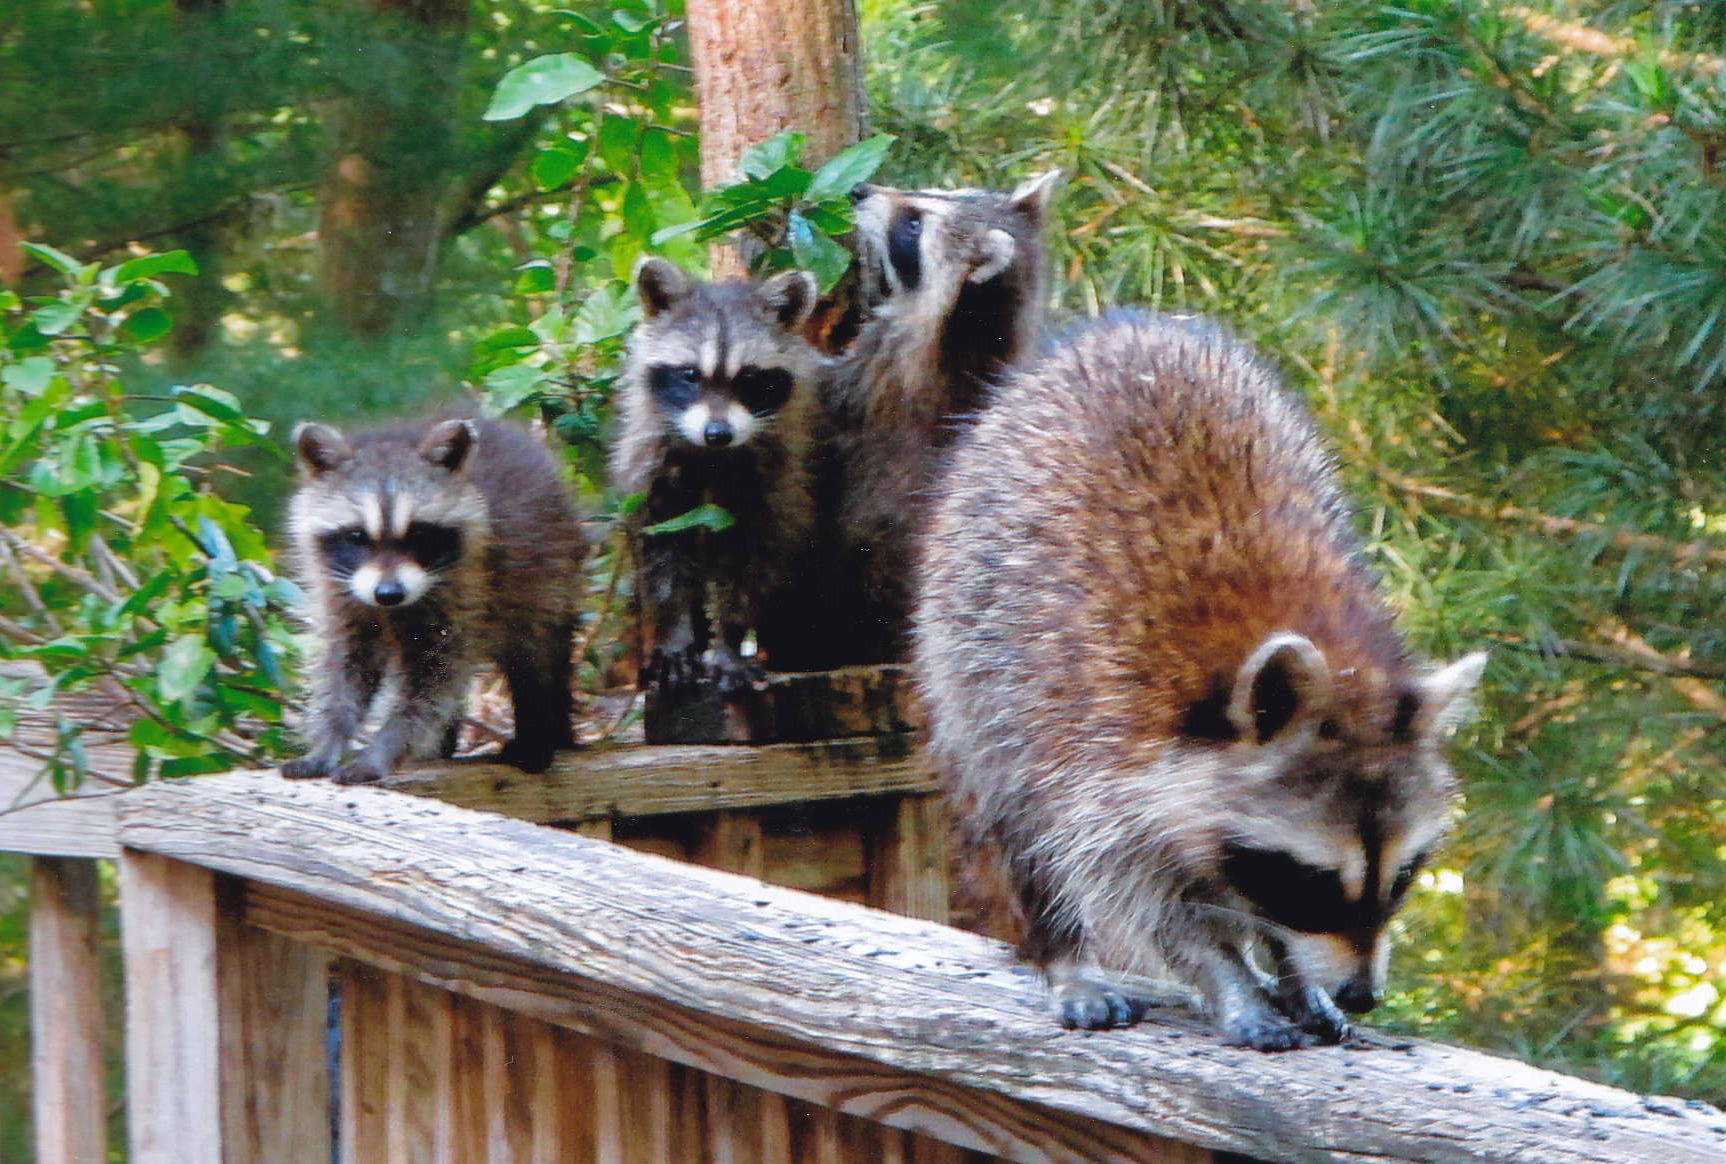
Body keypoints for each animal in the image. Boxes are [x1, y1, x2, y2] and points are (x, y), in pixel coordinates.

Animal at [282, 415, 583, 785]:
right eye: (356, 536)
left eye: (419, 534)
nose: (388, 593)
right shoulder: (341, 599)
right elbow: (342, 672)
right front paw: (327, 741)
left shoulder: (466, 591)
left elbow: (432, 683)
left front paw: (383, 749)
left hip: (547, 569)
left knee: (535, 653)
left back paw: (536, 735)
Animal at [613, 258, 823, 691]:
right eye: (690, 375)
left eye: (749, 378)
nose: (718, 433)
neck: (712, 456)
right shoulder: (652, 472)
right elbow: (663, 560)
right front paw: (675, 633)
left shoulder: (772, 482)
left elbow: (750, 563)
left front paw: (730, 640)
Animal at [913, 312, 1486, 1051]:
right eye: (1310, 881)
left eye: (1403, 875)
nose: (1361, 995)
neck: (1342, 663)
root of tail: (1127, 329)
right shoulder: (1098, 745)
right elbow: (1138, 894)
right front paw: (1228, 976)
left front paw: (1293, 972)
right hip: (970, 644)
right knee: (1017, 812)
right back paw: (1063, 953)